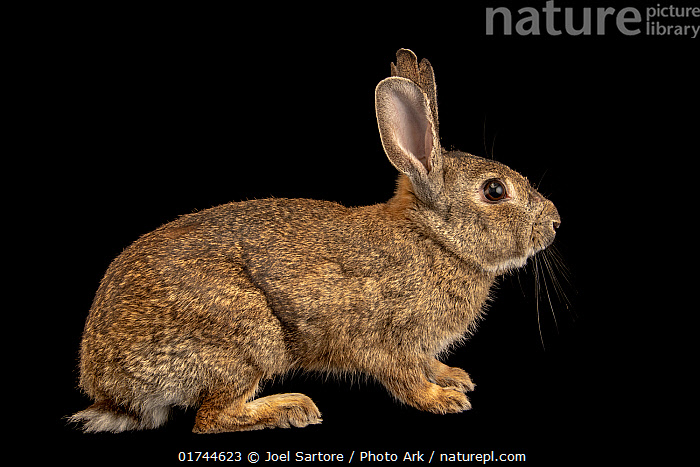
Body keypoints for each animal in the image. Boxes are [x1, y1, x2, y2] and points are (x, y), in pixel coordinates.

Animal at [69, 48, 560, 433]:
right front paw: (443, 399)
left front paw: (454, 376)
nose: (555, 222)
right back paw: (292, 407)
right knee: (212, 418)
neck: (437, 241)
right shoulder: (389, 340)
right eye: (494, 191)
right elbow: (404, 377)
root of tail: (107, 385)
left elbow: (428, 363)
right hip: (250, 338)